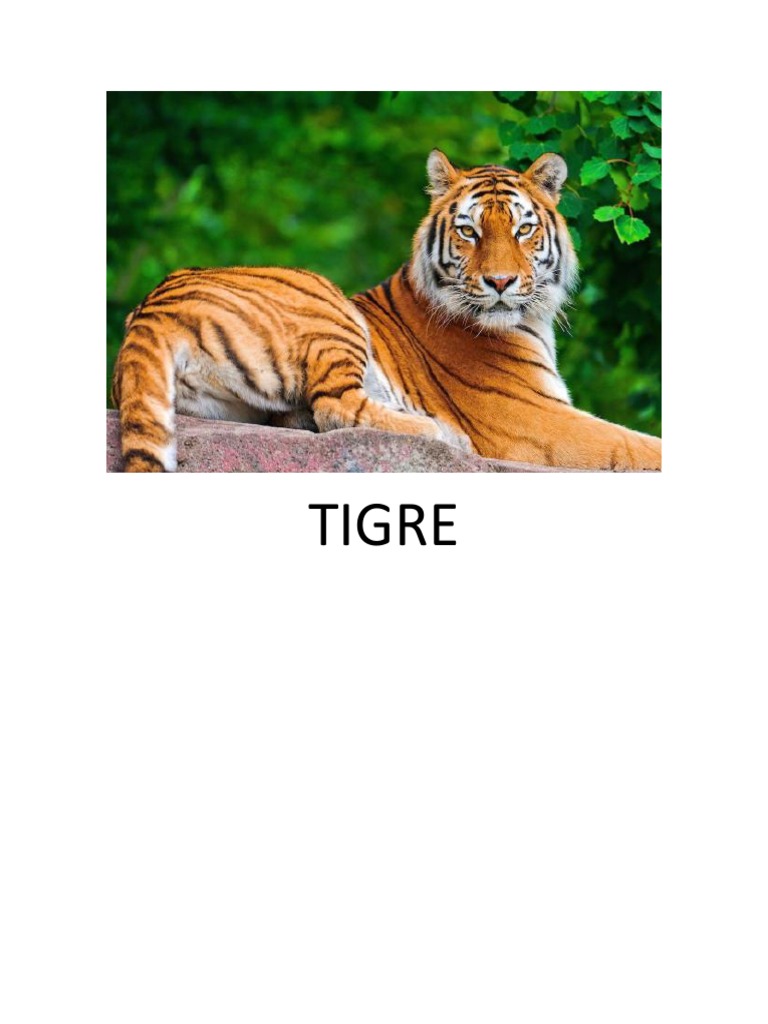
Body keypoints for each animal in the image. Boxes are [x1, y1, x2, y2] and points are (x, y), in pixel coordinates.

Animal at [111, 150, 661, 471]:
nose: (501, 282)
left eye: (523, 229)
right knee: (335, 407)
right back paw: (442, 435)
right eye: (469, 231)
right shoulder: (534, 418)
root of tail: (150, 309)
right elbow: (637, 445)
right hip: (326, 304)